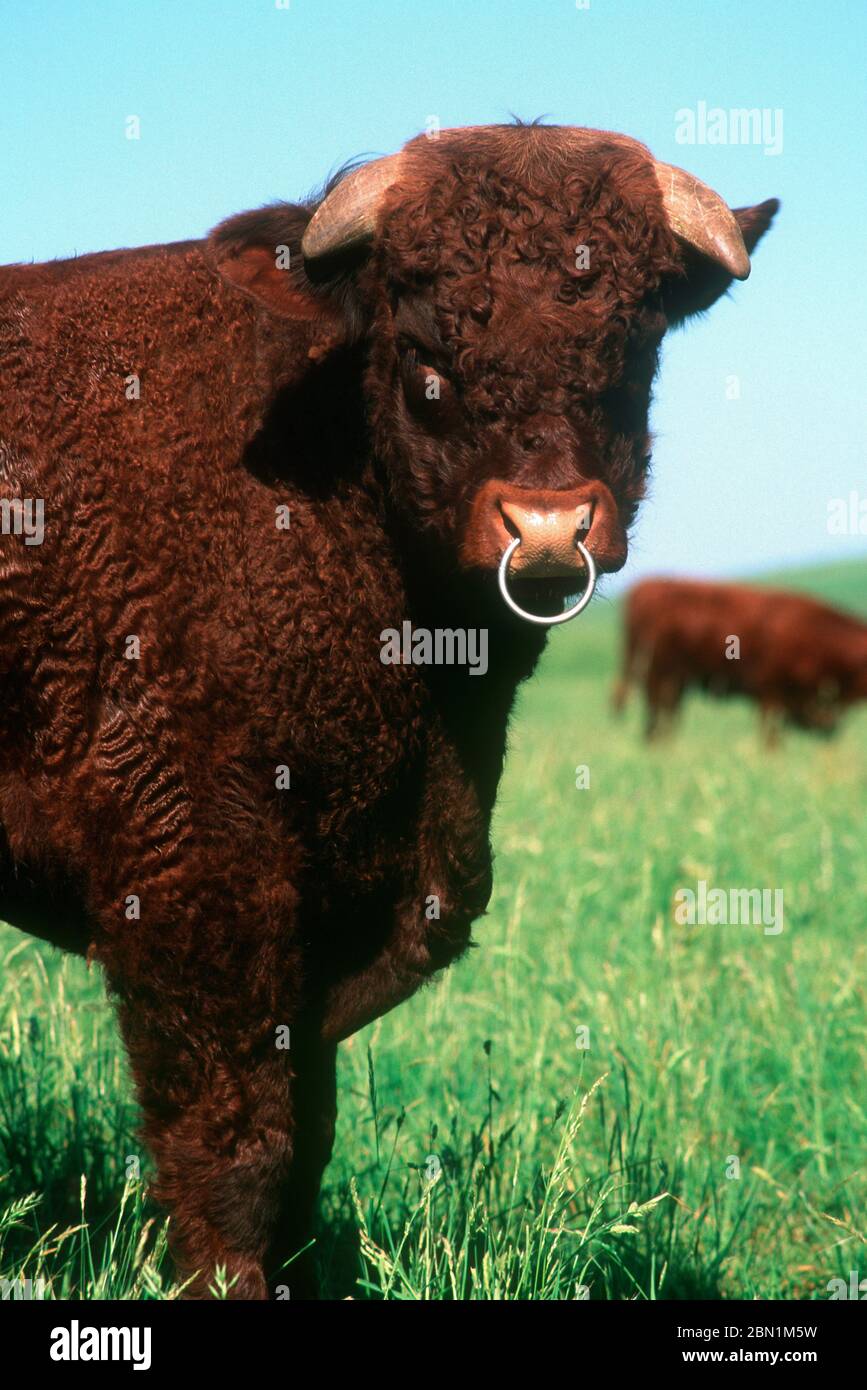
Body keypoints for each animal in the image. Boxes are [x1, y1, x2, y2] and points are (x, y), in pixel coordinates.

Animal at [0, 123, 777, 1297]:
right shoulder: (193, 868)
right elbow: (237, 1137)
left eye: (634, 352)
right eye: (425, 361)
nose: (545, 531)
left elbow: (310, 1132)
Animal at [613, 576, 867, 741]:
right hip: (660, 677)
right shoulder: (771, 693)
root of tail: (644, 587)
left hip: (673, 681)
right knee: (659, 715)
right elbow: (770, 735)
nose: (830, 730)